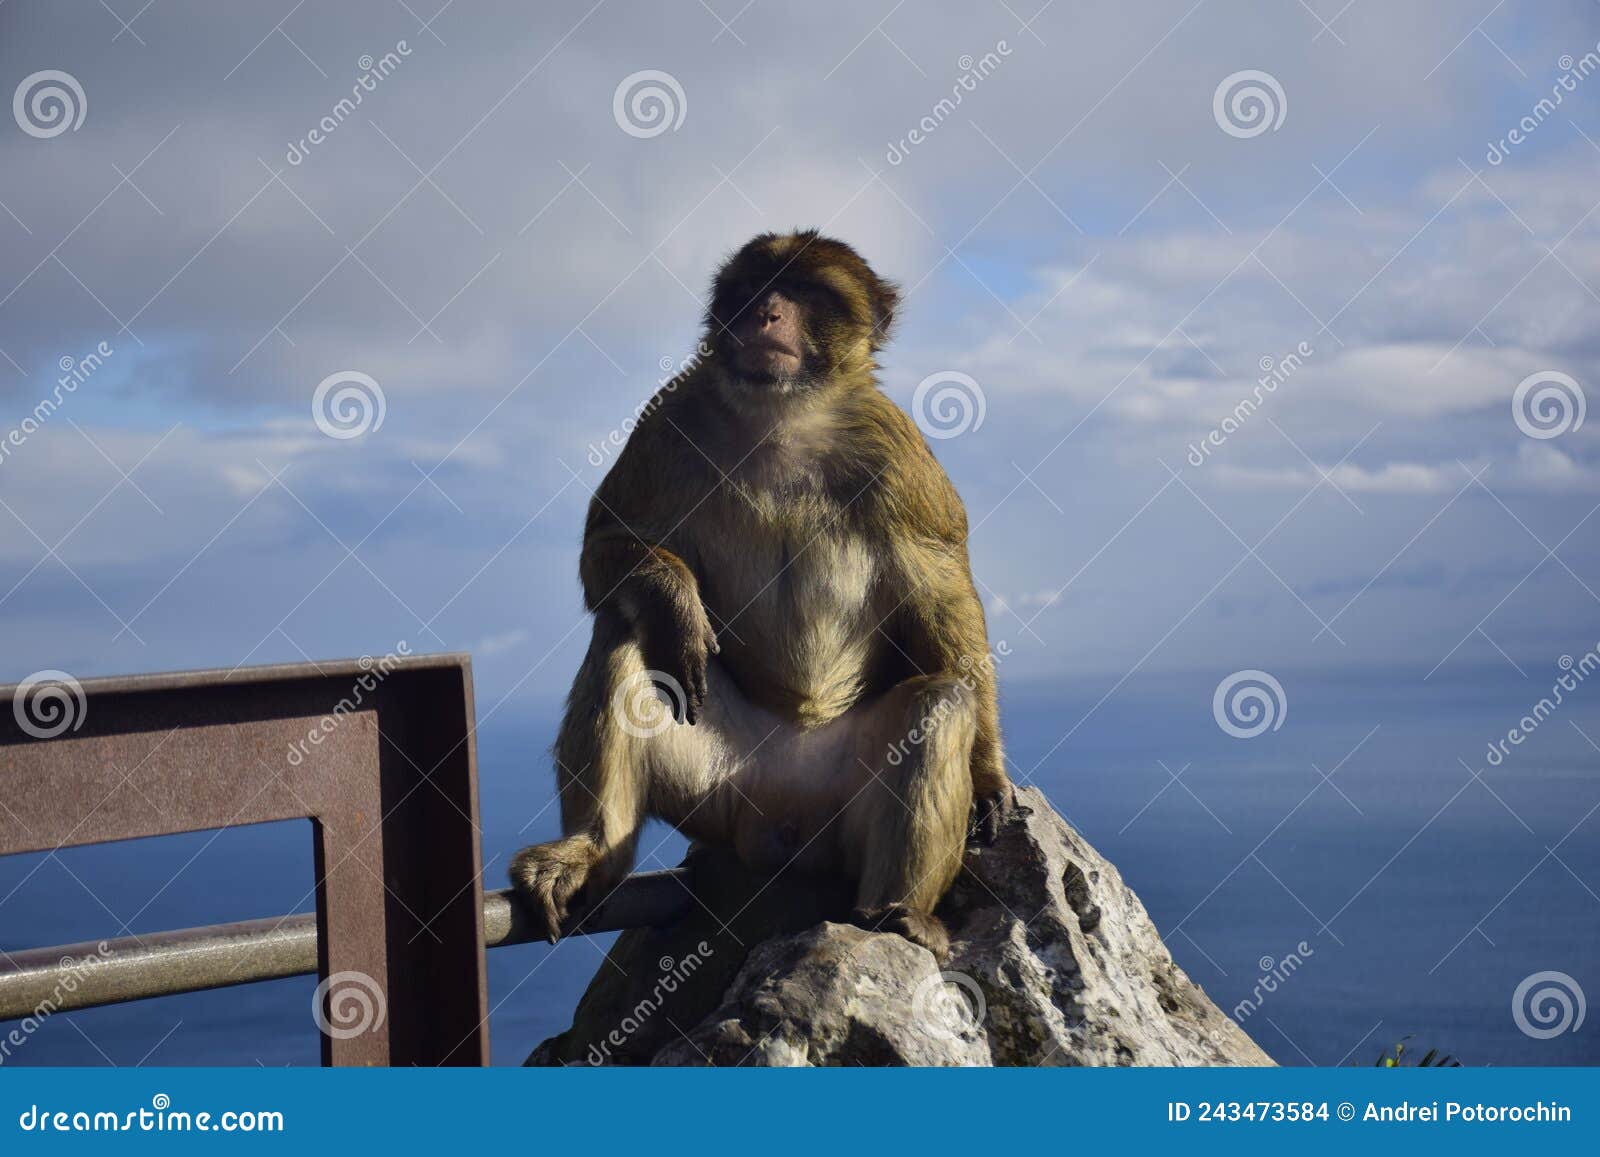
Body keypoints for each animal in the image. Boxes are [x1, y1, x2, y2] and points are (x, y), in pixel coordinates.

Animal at [511, 230, 1012, 961]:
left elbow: (943, 593)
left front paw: (992, 773)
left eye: (805, 291)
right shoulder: (669, 417)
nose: (767, 312)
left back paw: (901, 912)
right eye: (756, 285)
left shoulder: (898, 453)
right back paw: (588, 851)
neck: (785, 415)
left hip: (840, 807)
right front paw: (678, 601)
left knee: (941, 701)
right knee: (628, 634)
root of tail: (780, 820)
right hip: (719, 788)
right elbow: (609, 539)